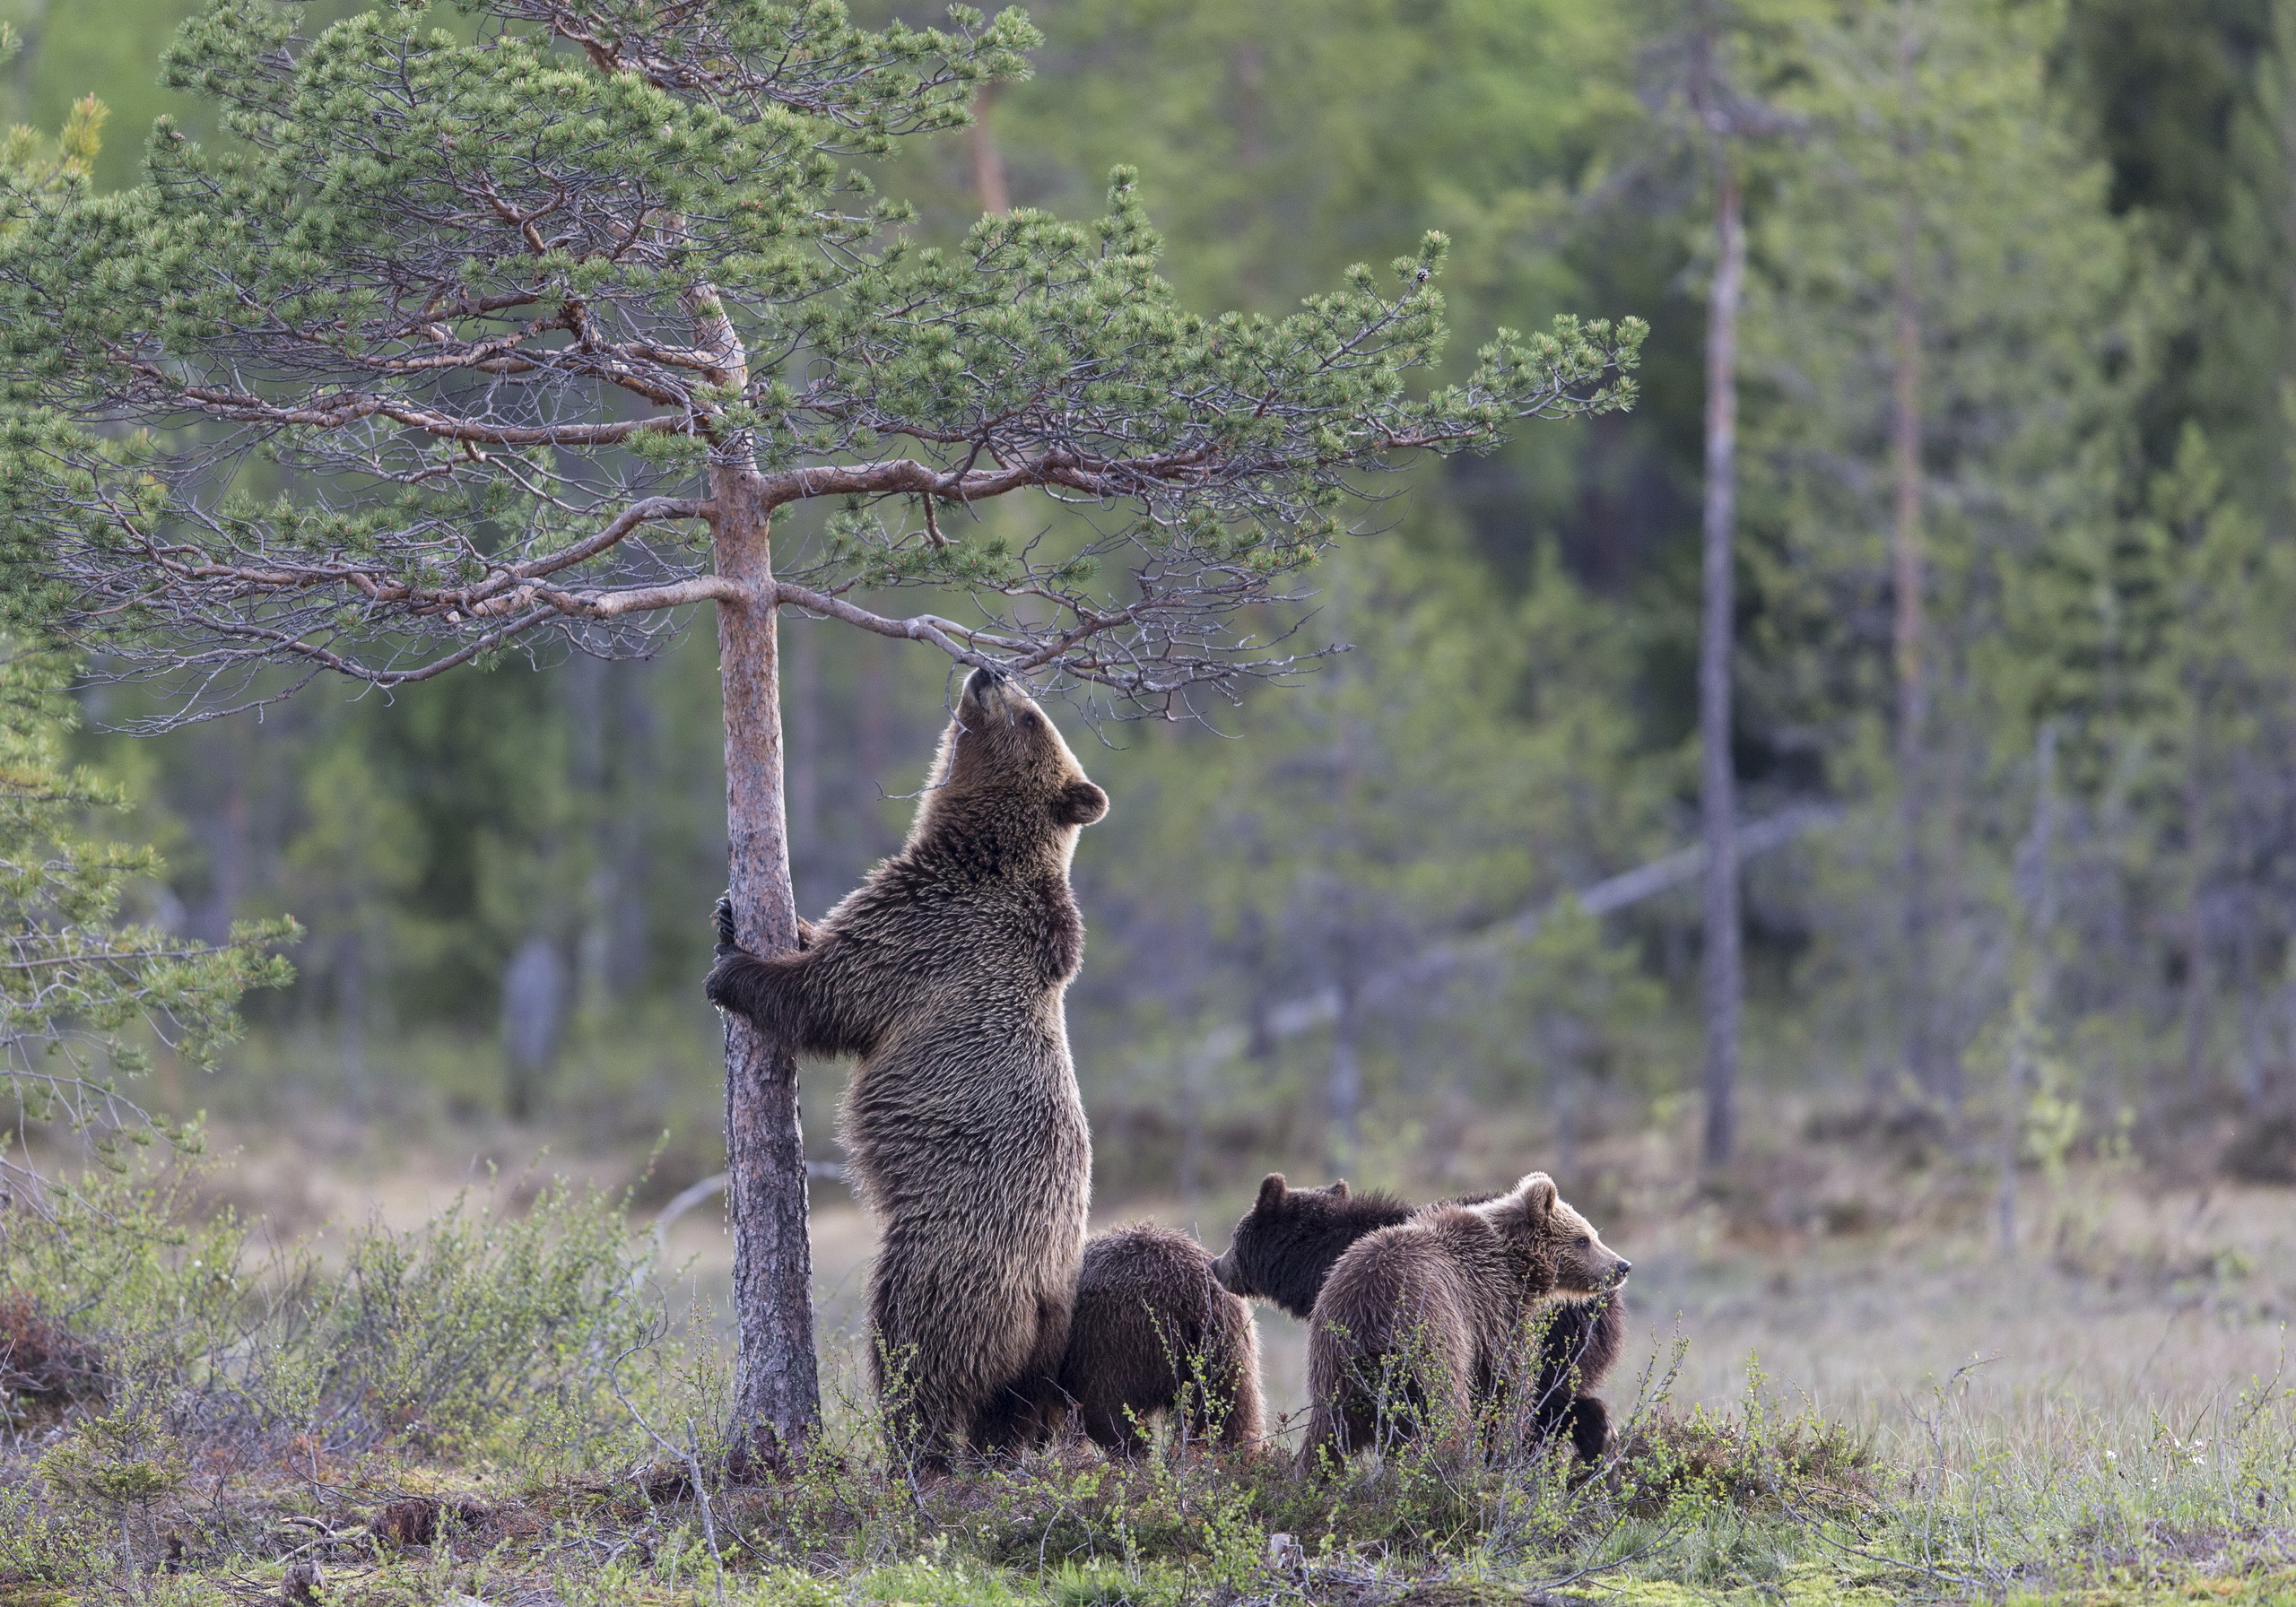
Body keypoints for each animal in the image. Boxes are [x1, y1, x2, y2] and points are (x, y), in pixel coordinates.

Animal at [704, 667, 1108, 1466]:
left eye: (1029, 715)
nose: (988, 669)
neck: (978, 851)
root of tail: (1048, 1300)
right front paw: (738, 914)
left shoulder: (928, 931)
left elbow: (833, 992)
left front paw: (735, 965)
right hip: (1038, 1355)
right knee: (1010, 1407)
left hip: (945, 1258)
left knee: (914, 1350)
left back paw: (912, 1450)